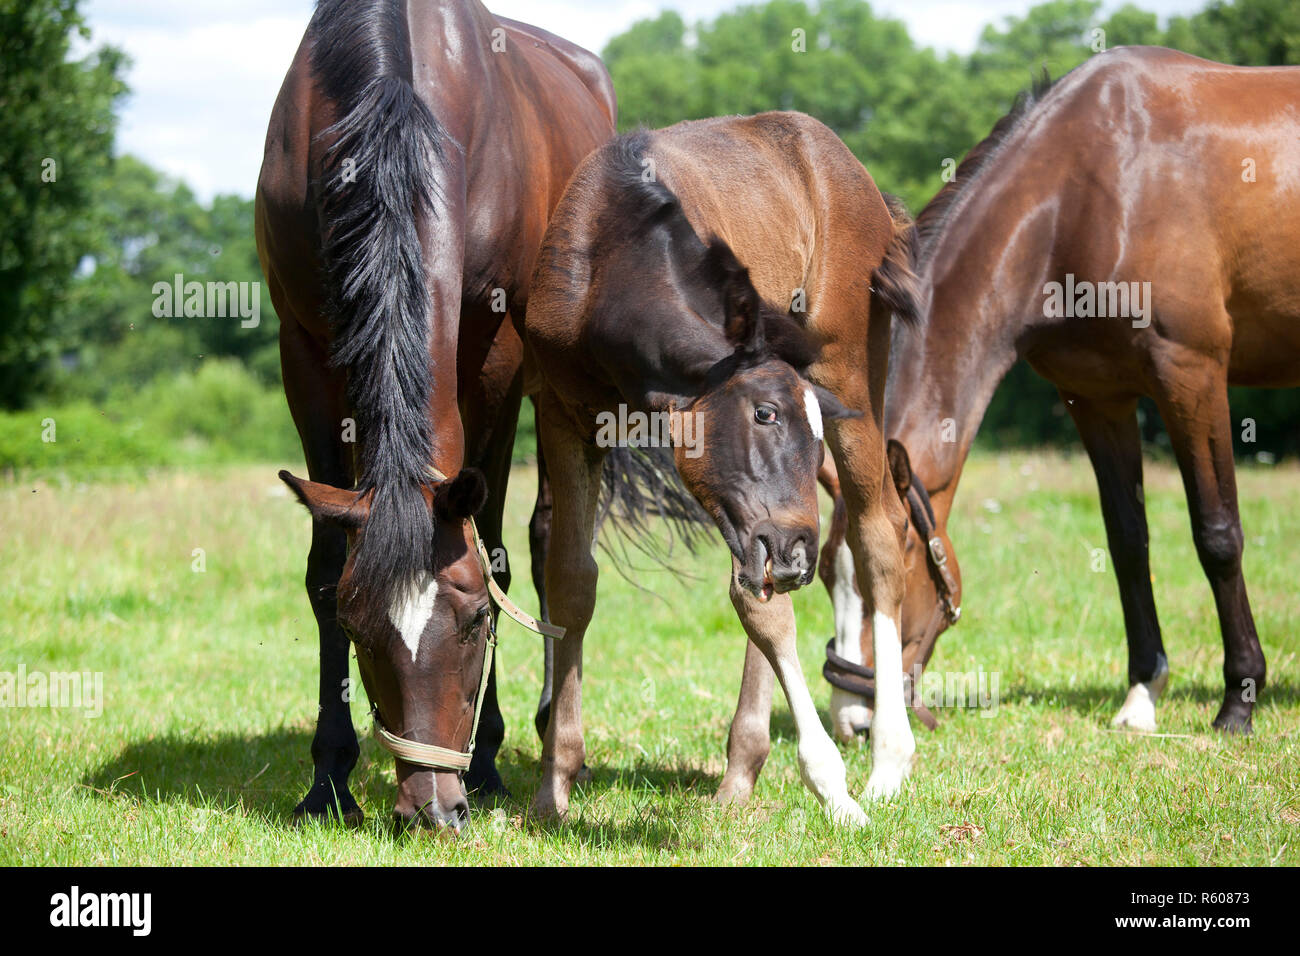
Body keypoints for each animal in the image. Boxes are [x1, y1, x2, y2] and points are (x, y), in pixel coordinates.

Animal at [255, 0, 616, 832]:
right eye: (357, 625)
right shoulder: (303, 346)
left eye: (477, 620)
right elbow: (325, 560)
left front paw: (485, 763)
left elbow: (497, 552)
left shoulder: (497, 354)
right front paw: (330, 778)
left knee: (545, 540)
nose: (431, 807)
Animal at [523, 112, 922, 825]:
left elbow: (759, 604)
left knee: (878, 535)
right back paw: (742, 775)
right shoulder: (564, 416)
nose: (797, 551)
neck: (607, 257)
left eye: (807, 429)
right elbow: (571, 582)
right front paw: (553, 788)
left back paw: (884, 761)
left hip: (851, 366)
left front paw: (832, 785)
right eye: (764, 414)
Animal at [869, 46, 1297, 735]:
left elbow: (1218, 535)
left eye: (903, 547)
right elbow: (1127, 541)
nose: (856, 712)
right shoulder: (1097, 398)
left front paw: (1240, 697)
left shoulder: (1193, 375)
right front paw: (1142, 691)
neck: (1086, 193)